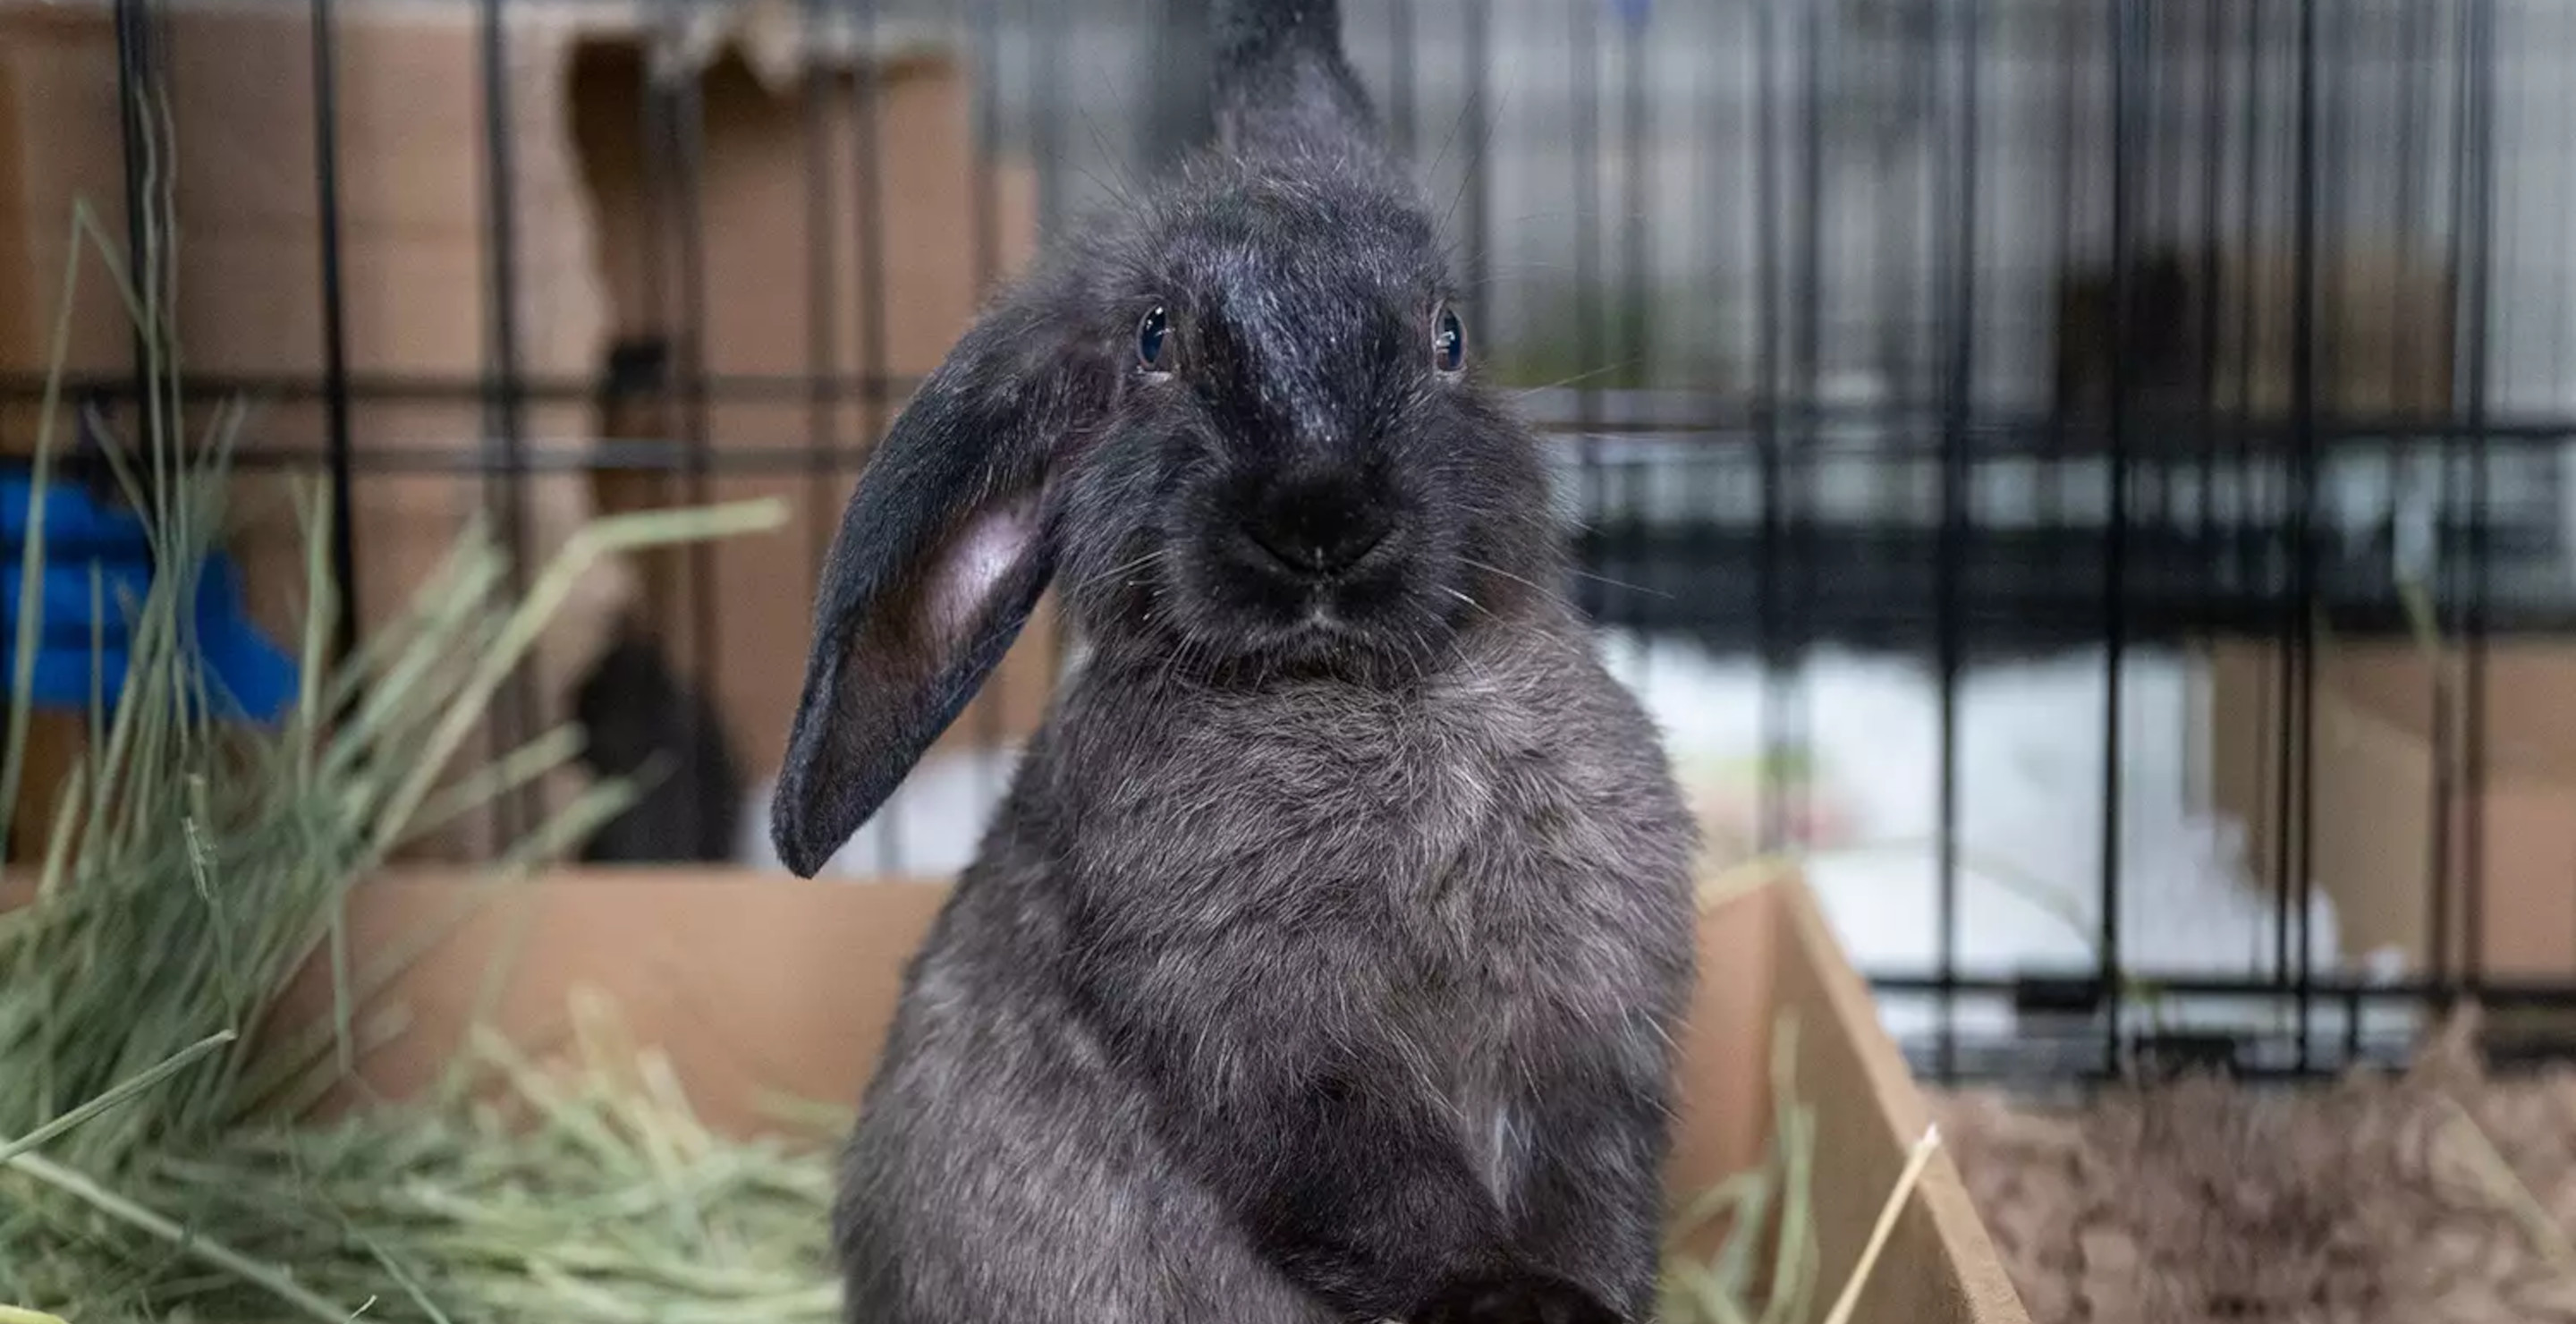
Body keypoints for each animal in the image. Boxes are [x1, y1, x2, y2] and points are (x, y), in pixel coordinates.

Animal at [768, 2, 1701, 1321]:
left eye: (1449, 335)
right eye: (1157, 340)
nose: (1321, 517)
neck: (1354, 694)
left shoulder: (1596, 1036)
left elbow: (1593, 1190)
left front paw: (1571, 1300)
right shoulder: (1262, 1045)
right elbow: (1379, 1190)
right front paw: (1511, 1301)